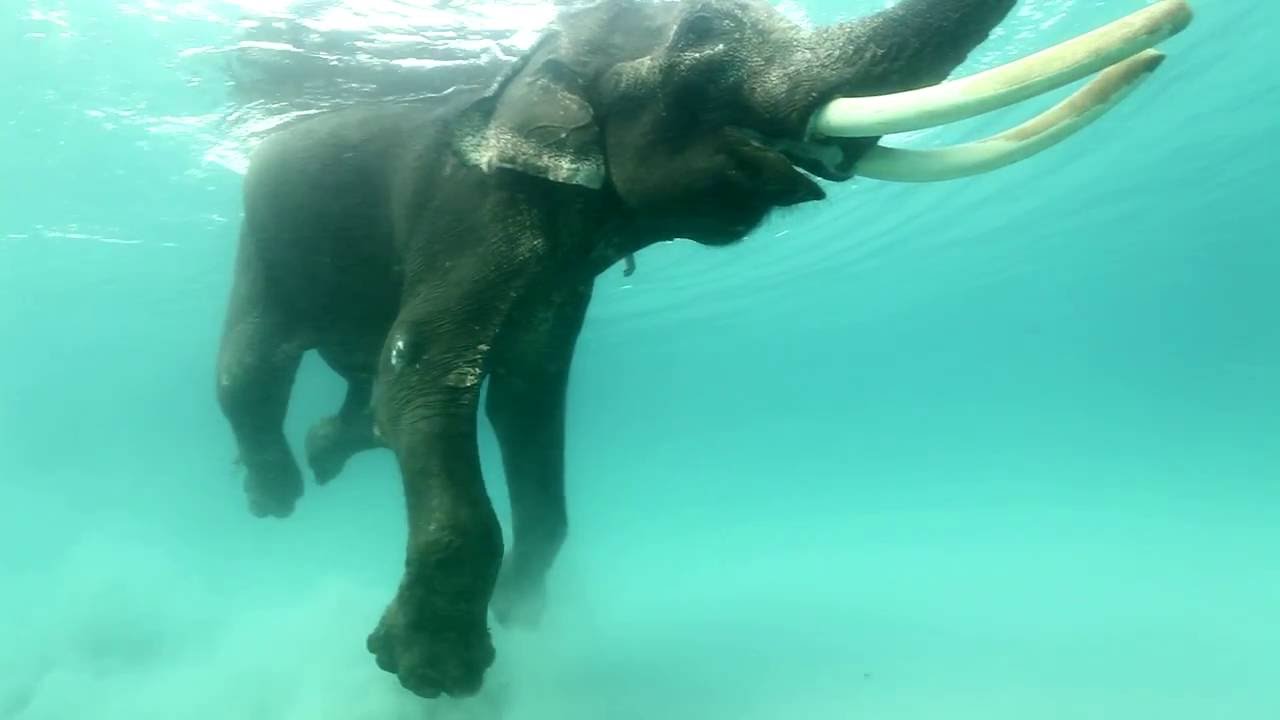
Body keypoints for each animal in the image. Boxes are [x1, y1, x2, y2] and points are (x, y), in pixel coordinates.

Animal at [214, 0, 1192, 699]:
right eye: (704, 34)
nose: (1173, 29)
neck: (525, 73)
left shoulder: (562, 279)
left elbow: (526, 399)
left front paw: (523, 621)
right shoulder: (474, 212)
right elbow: (424, 382)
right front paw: (434, 676)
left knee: (360, 397)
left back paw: (327, 450)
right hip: (259, 247)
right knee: (252, 371)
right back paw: (275, 496)